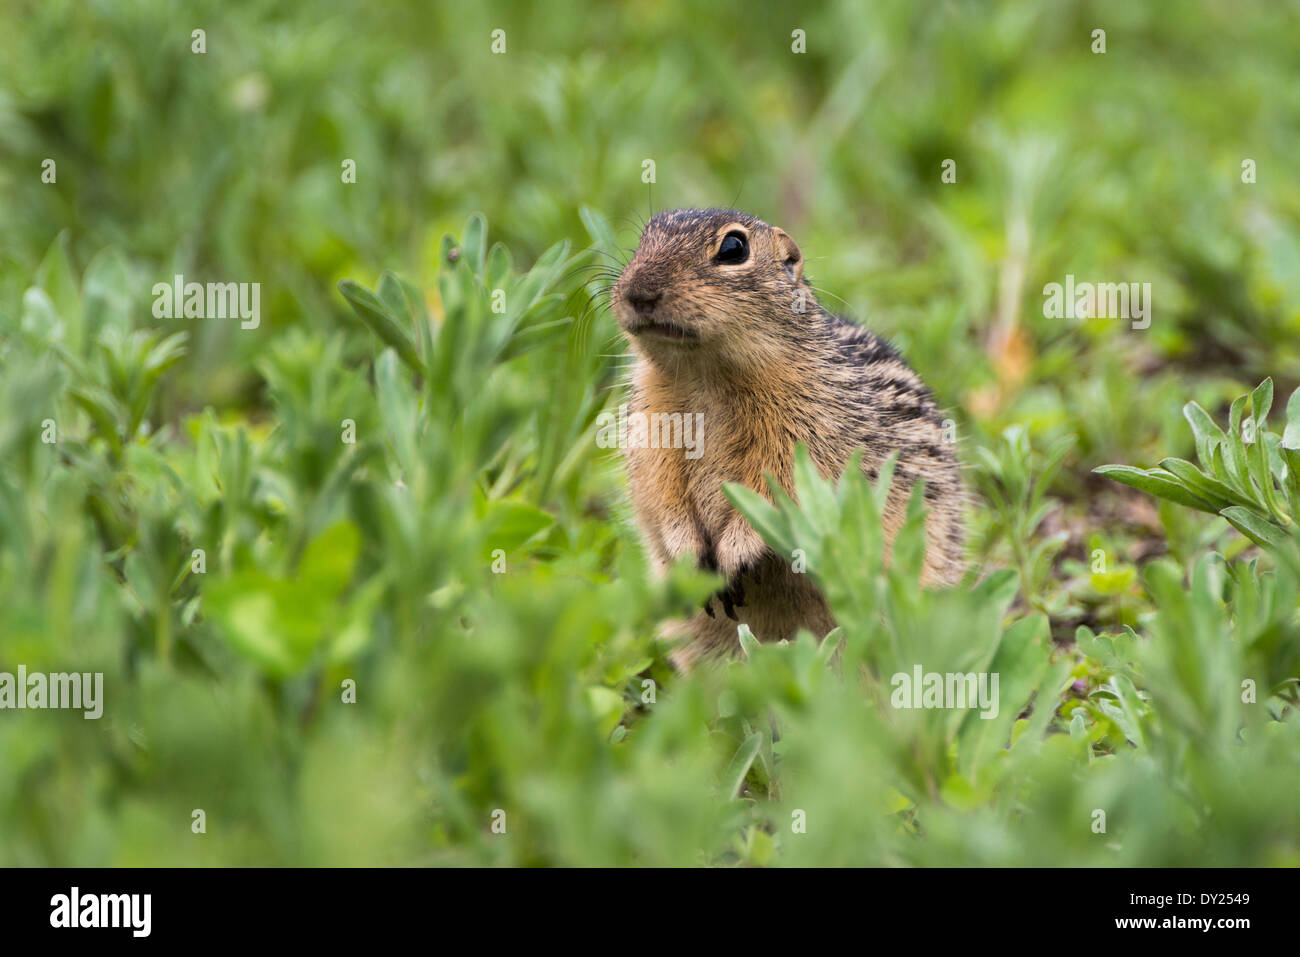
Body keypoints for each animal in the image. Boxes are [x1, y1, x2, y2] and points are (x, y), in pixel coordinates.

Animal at [610, 208, 966, 670]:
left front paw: (735, 554)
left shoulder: (807, 436)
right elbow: (660, 493)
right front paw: (686, 550)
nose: (639, 292)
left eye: (734, 248)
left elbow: (777, 492)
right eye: (643, 238)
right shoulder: (650, 435)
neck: (705, 376)